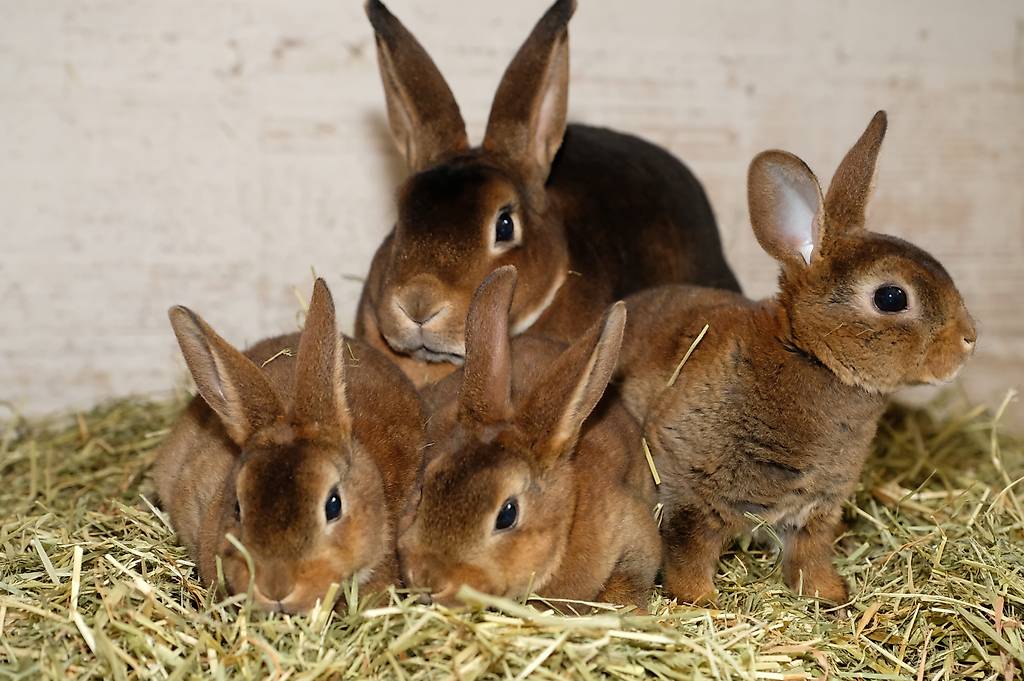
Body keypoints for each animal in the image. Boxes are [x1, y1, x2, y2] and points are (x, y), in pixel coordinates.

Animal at [615, 111, 977, 605]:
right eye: (891, 297)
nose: (969, 339)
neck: (809, 355)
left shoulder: (816, 507)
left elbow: (809, 556)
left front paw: (831, 596)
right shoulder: (690, 488)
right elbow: (690, 550)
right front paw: (702, 601)